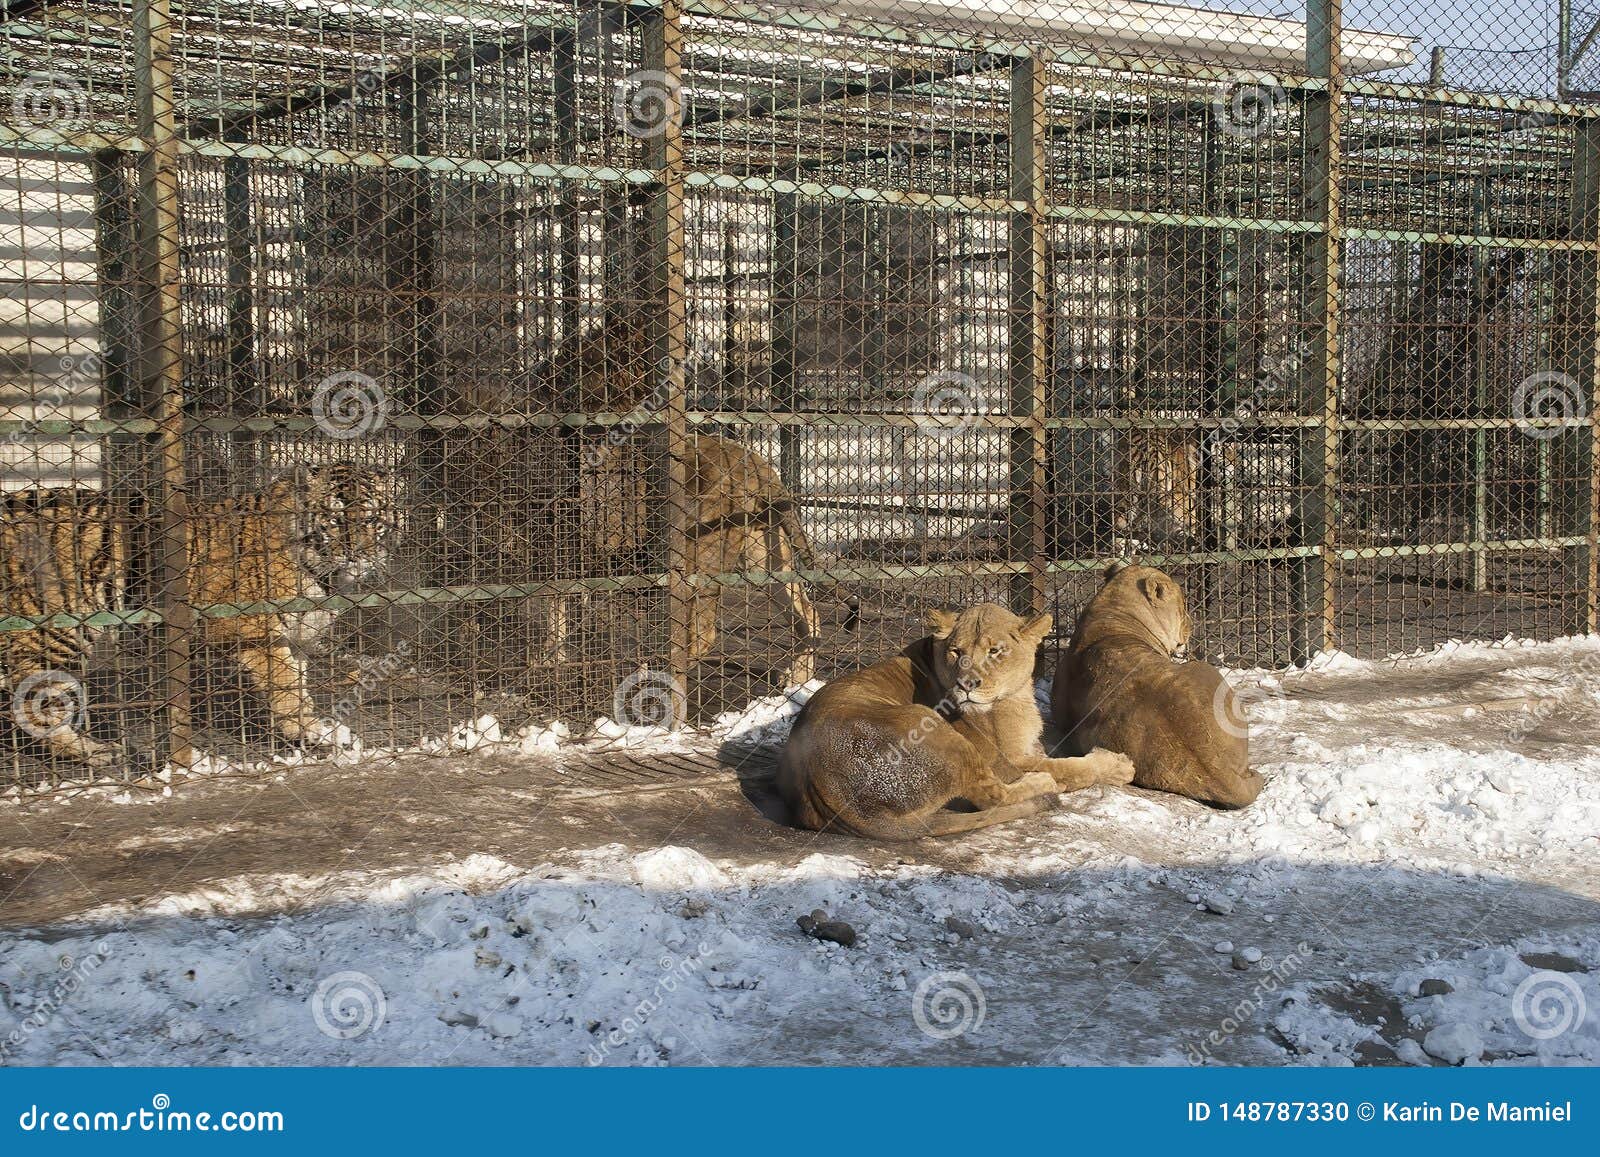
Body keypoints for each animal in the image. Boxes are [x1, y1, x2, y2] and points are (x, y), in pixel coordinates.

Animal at [3, 460, 403, 768]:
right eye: (335, 519)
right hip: (55, 635)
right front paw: (313, 730)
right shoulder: (254, 632)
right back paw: (100, 753)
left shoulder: (298, 638)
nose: (358, 555)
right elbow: (287, 688)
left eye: (372, 519)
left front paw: (319, 734)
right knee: (30, 708)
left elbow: (299, 682)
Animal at [777, 598, 1139, 844]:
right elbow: (1070, 768)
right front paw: (1116, 765)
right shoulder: (1007, 758)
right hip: (935, 728)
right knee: (994, 795)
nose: (966, 684)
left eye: (995, 651)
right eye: (956, 651)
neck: (1015, 694)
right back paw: (1042, 784)